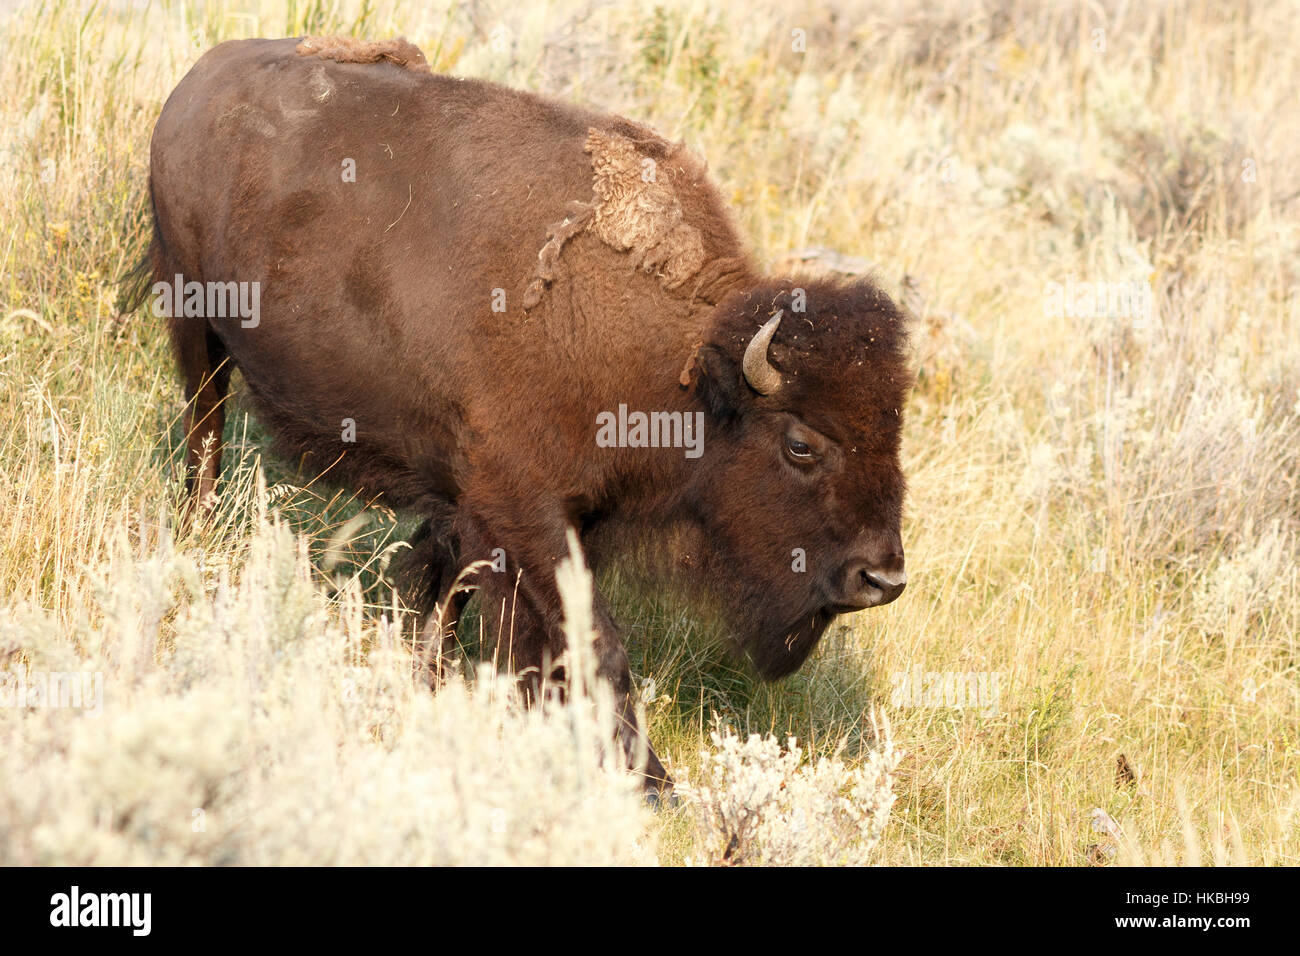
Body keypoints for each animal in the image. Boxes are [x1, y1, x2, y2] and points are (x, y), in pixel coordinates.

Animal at [139, 36, 912, 791]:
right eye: (801, 444)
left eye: (894, 434)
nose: (882, 579)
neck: (683, 370)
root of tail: (198, 80)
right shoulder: (525, 507)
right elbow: (593, 640)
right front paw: (649, 778)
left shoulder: (516, 508)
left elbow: (455, 593)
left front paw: (430, 676)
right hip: (192, 314)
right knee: (204, 428)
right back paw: (197, 532)